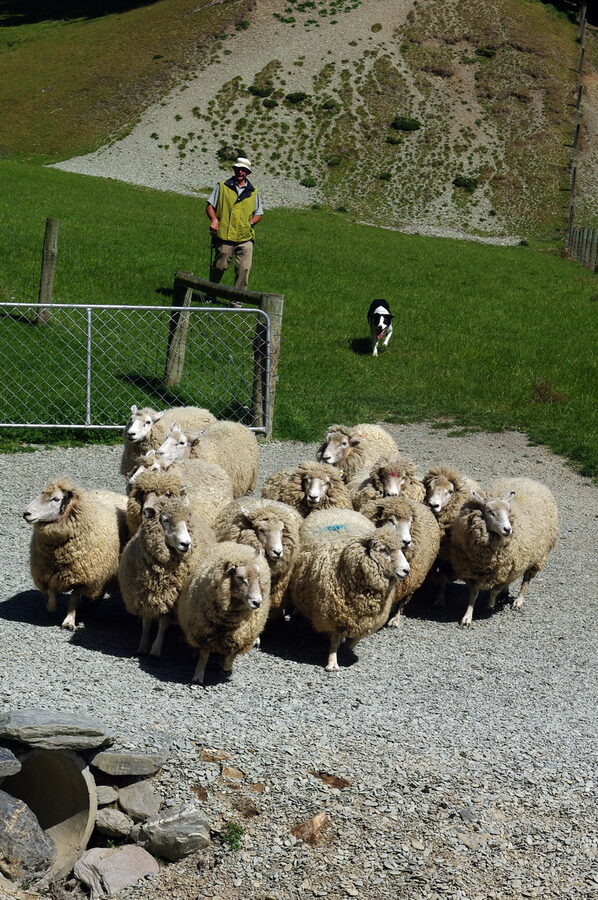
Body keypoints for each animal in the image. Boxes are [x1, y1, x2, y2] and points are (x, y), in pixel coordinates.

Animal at [23, 479, 129, 630]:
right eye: (42, 493)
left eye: (56, 499)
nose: (26, 513)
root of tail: (113, 493)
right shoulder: (48, 572)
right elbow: (51, 593)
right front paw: (51, 607)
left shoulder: (83, 577)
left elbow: (73, 600)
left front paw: (69, 621)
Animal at [118, 493, 215, 657]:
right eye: (165, 520)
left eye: (186, 520)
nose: (186, 544)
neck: (160, 576)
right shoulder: (146, 595)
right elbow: (146, 621)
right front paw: (143, 645)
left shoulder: (170, 599)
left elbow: (163, 623)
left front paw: (156, 649)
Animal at [177, 542, 271, 684]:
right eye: (240, 577)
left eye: (258, 577)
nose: (257, 602)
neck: (229, 620)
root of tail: (234, 543)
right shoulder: (204, 631)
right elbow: (204, 656)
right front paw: (198, 676)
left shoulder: (238, 636)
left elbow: (231, 655)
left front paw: (226, 669)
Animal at [289, 525, 410, 672]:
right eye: (383, 550)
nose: (406, 570)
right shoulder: (334, 615)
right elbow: (335, 639)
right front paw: (332, 663)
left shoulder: (367, 620)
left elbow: (356, 639)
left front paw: (346, 647)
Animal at [449, 477, 559, 627]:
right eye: (490, 512)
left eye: (508, 512)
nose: (508, 529)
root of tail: (532, 481)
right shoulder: (475, 571)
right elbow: (474, 594)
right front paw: (467, 617)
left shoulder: (508, 569)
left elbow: (495, 590)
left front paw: (490, 604)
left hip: (538, 557)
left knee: (526, 580)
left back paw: (518, 601)